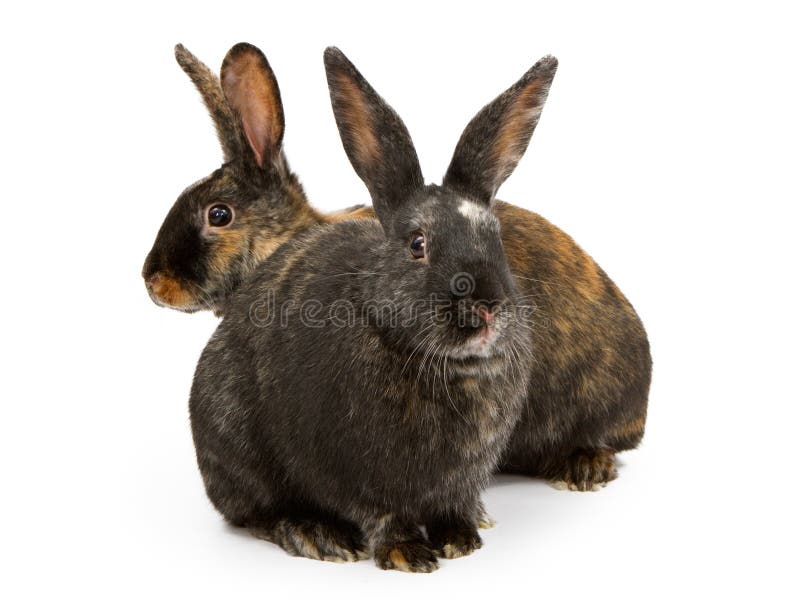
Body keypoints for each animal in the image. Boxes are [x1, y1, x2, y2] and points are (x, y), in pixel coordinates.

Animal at [188, 47, 550, 572]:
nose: (485, 311)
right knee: (255, 512)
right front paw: (408, 554)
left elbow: (454, 504)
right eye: (418, 244)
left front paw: (460, 539)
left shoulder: (460, 480)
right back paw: (315, 534)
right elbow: (381, 514)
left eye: (495, 238)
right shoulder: (351, 473)